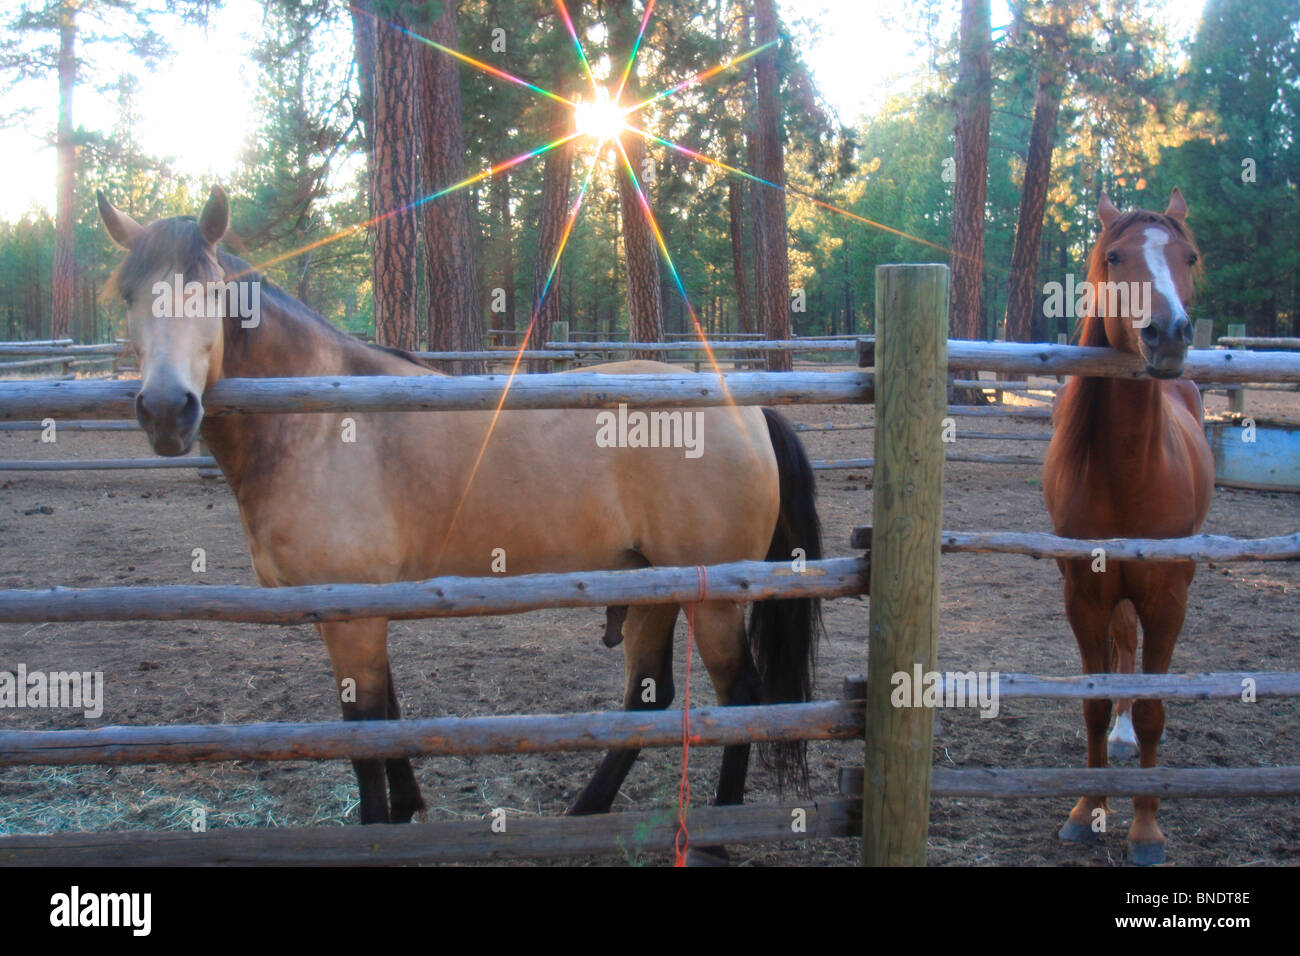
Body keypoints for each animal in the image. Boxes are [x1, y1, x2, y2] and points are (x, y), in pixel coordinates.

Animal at [96, 187, 822, 861]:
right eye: (128, 293)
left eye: (209, 292)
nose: (166, 410)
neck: (320, 423)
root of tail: (747, 409)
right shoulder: (365, 613)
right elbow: (388, 716)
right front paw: (407, 808)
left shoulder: (350, 616)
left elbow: (363, 731)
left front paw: (377, 828)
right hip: (651, 586)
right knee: (648, 699)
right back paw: (584, 813)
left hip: (713, 600)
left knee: (741, 698)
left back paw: (714, 837)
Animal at [1042, 188, 1214, 865]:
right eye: (1115, 257)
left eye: (1189, 257)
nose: (1167, 334)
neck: (1130, 469)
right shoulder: (1083, 595)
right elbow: (1093, 703)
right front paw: (1087, 810)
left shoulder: (1169, 598)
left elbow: (1151, 710)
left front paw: (1145, 829)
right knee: (1121, 645)